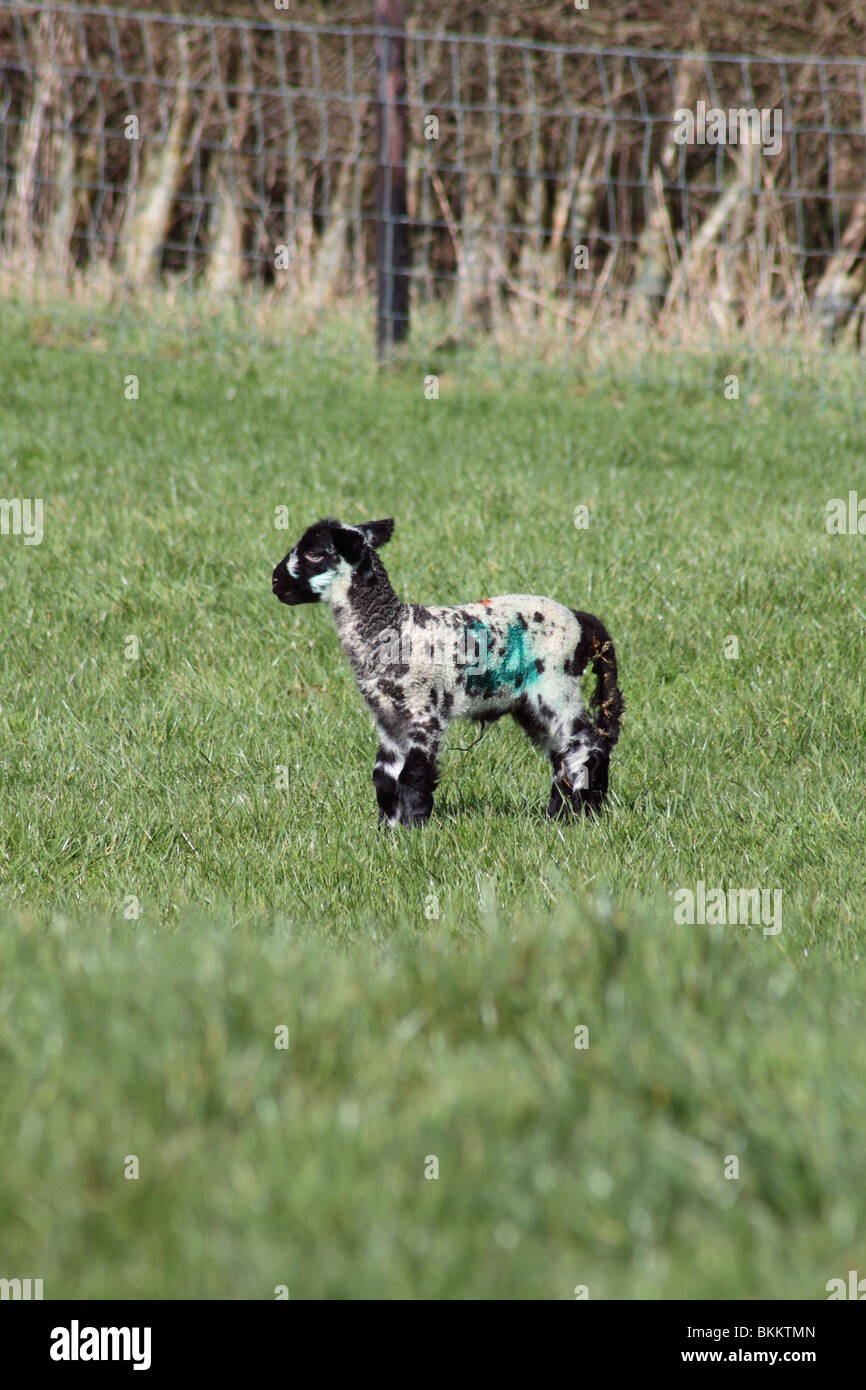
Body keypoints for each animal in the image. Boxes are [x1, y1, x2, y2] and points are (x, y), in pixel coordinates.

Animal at [272, 518, 623, 826]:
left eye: (315, 554)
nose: (275, 582)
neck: (393, 628)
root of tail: (583, 622)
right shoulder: (388, 718)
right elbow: (383, 776)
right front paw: (386, 831)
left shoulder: (424, 711)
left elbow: (413, 775)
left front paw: (412, 830)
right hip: (529, 703)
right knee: (562, 754)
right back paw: (559, 814)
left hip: (555, 686)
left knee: (587, 746)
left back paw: (584, 813)